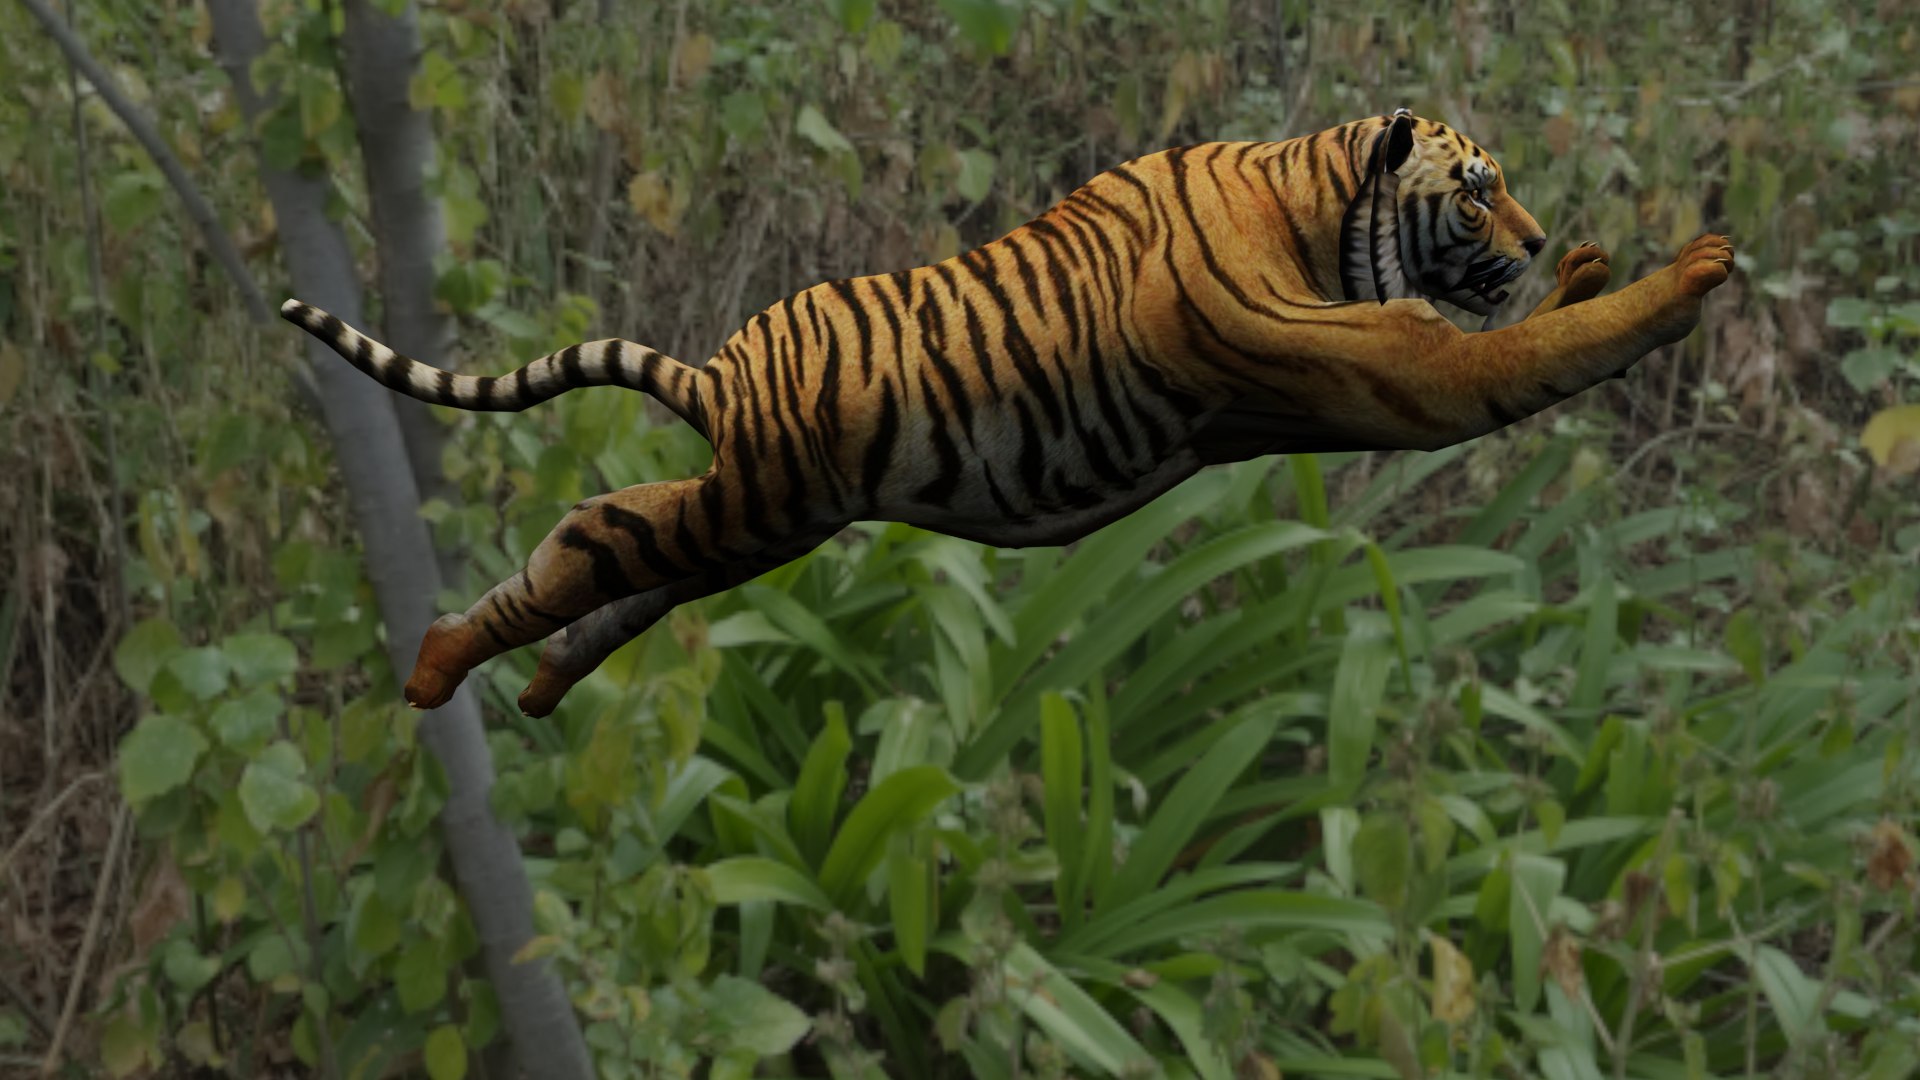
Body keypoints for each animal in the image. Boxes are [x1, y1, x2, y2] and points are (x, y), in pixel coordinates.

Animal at [282, 108, 1733, 718]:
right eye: (1477, 191)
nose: (1532, 235)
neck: (1317, 205)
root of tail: (723, 371)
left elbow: (1525, 334)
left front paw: (1588, 269)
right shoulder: (1372, 367)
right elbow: (1518, 358)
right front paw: (1677, 282)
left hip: (757, 524)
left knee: (622, 574)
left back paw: (532, 691)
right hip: (751, 500)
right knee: (594, 533)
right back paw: (435, 671)